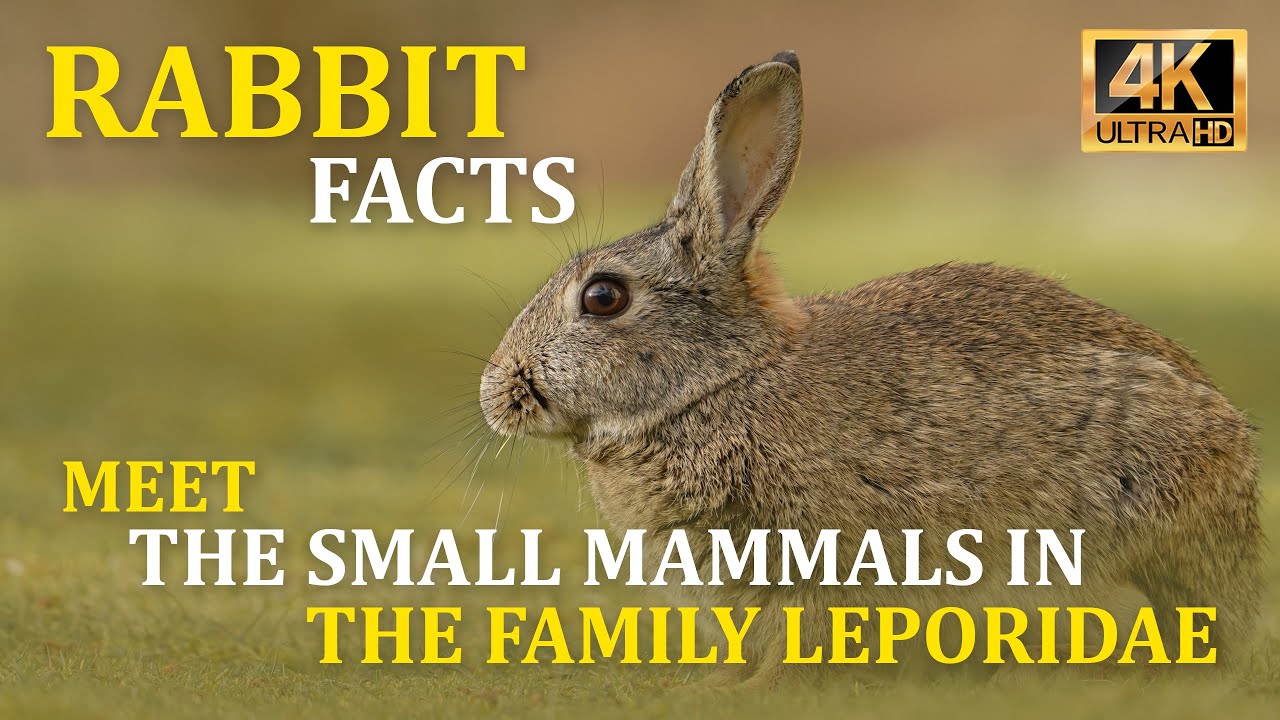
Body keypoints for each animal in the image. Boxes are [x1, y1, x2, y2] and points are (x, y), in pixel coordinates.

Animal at [479, 50, 1261, 685]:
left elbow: (802, 638)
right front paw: (717, 686)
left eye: (603, 297)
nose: (497, 393)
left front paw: (747, 693)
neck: (719, 380)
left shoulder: (822, 554)